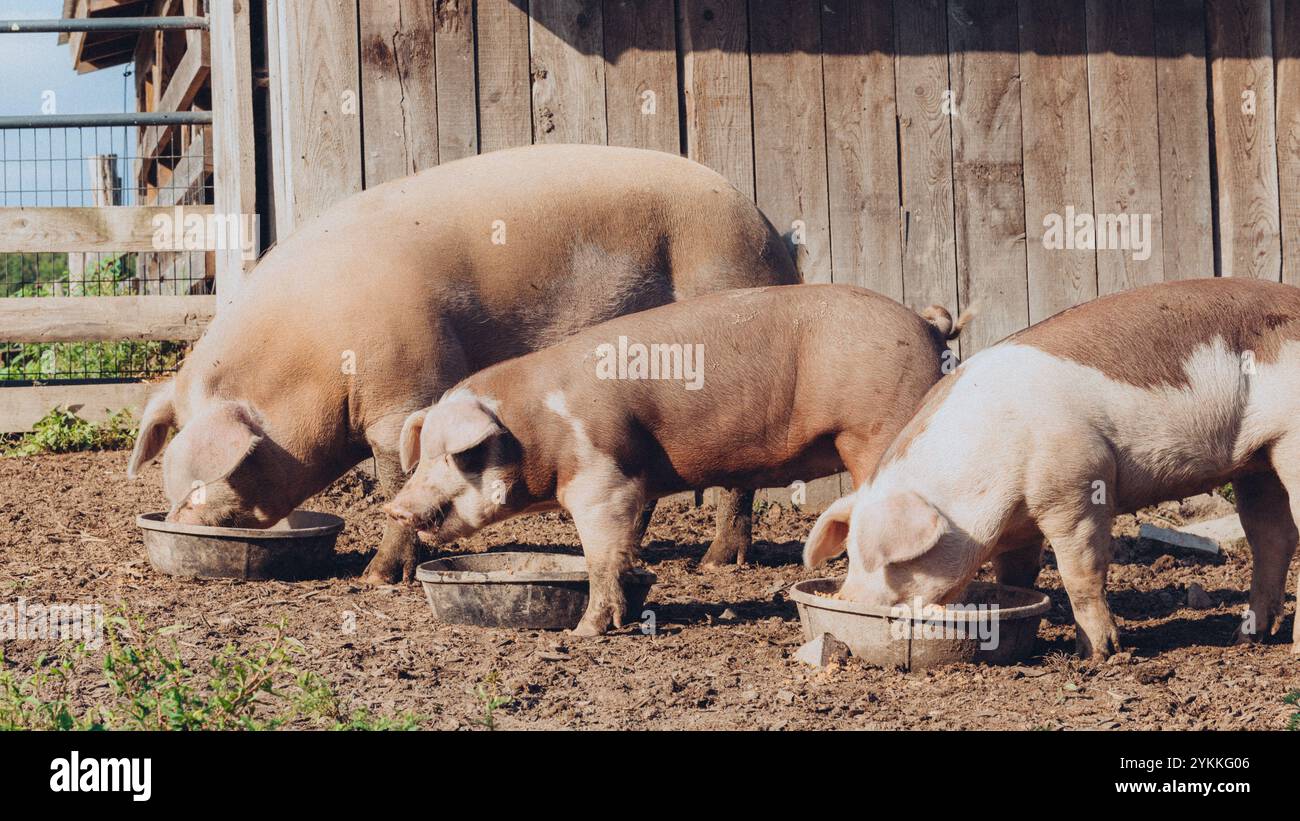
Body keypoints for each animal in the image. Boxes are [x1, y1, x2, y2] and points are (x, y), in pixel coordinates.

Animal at [125, 144, 799, 584]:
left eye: (209, 477)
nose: (184, 519)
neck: (314, 355)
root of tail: (771, 233)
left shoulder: (407, 389)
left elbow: (396, 479)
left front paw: (377, 579)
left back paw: (717, 563)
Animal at [384, 284, 967, 635]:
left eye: (458, 456)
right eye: (422, 455)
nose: (395, 507)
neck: (538, 429)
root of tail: (927, 324)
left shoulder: (603, 483)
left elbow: (600, 559)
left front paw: (584, 632)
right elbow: (622, 555)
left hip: (879, 428)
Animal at [804, 277, 1300, 659]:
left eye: (887, 562)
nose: (847, 599)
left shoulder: (1078, 481)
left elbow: (1081, 573)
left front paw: (1098, 655)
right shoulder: (1019, 522)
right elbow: (1016, 576)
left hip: (1290, 441)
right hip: (1257, 463)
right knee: (1272, 538)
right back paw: (1245, 639)